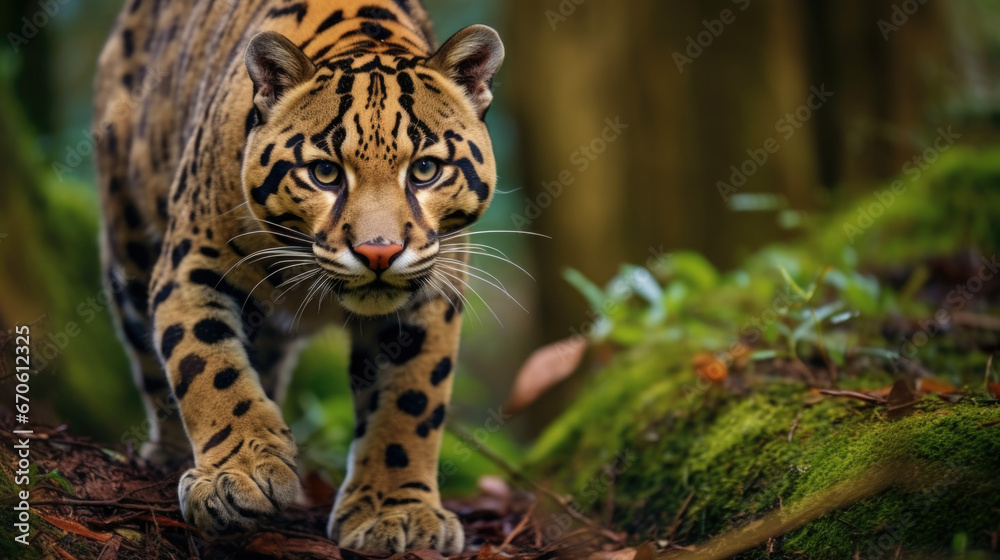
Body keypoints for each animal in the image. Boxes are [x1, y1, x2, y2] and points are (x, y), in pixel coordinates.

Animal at [93, 0, 503, 554]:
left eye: (425, 170)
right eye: (325, 173)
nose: (379, 252)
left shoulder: (430, 295)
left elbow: (411, 401)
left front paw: (395, 510)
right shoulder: (190, 265)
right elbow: (205, 366)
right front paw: (239, 475)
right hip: (130, 240)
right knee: (150, 357)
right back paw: (173, 451)